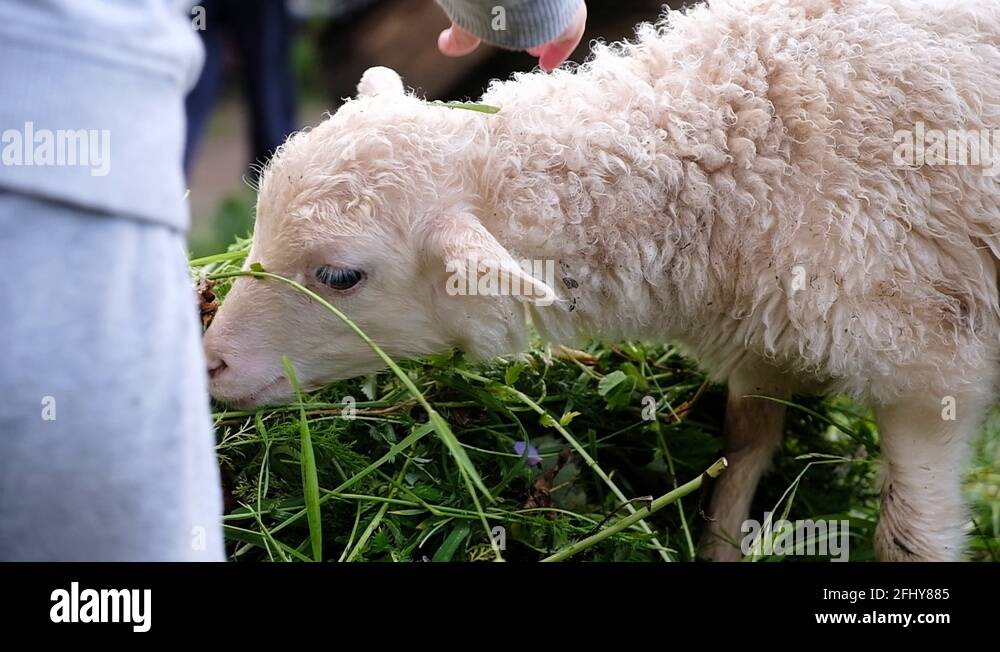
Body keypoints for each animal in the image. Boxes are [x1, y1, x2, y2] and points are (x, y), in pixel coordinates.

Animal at [203, 0, 1000, 561]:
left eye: (340, 275)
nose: (209, 362)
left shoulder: (927, 372)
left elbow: (907, 539)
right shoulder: (759, 336)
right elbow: (737, 457)